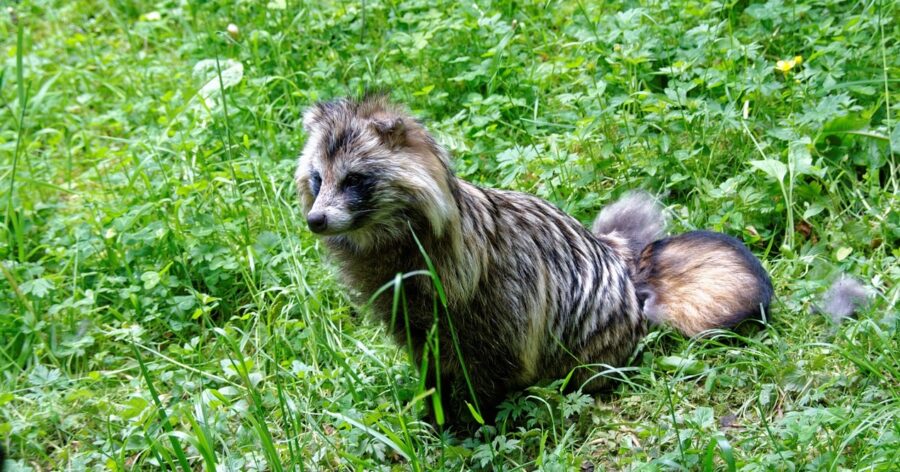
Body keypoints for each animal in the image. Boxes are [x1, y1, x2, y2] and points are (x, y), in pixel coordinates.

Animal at [295, 94, 773, 425]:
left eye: (354, 180)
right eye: (318, 179)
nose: (315, 219)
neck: (385, 239)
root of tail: (622, 262)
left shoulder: (495, 295)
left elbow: (498, 364)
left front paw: (474, 418)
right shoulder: (404, 307)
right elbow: (428, 359)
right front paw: (434, 406)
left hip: (593, 336)